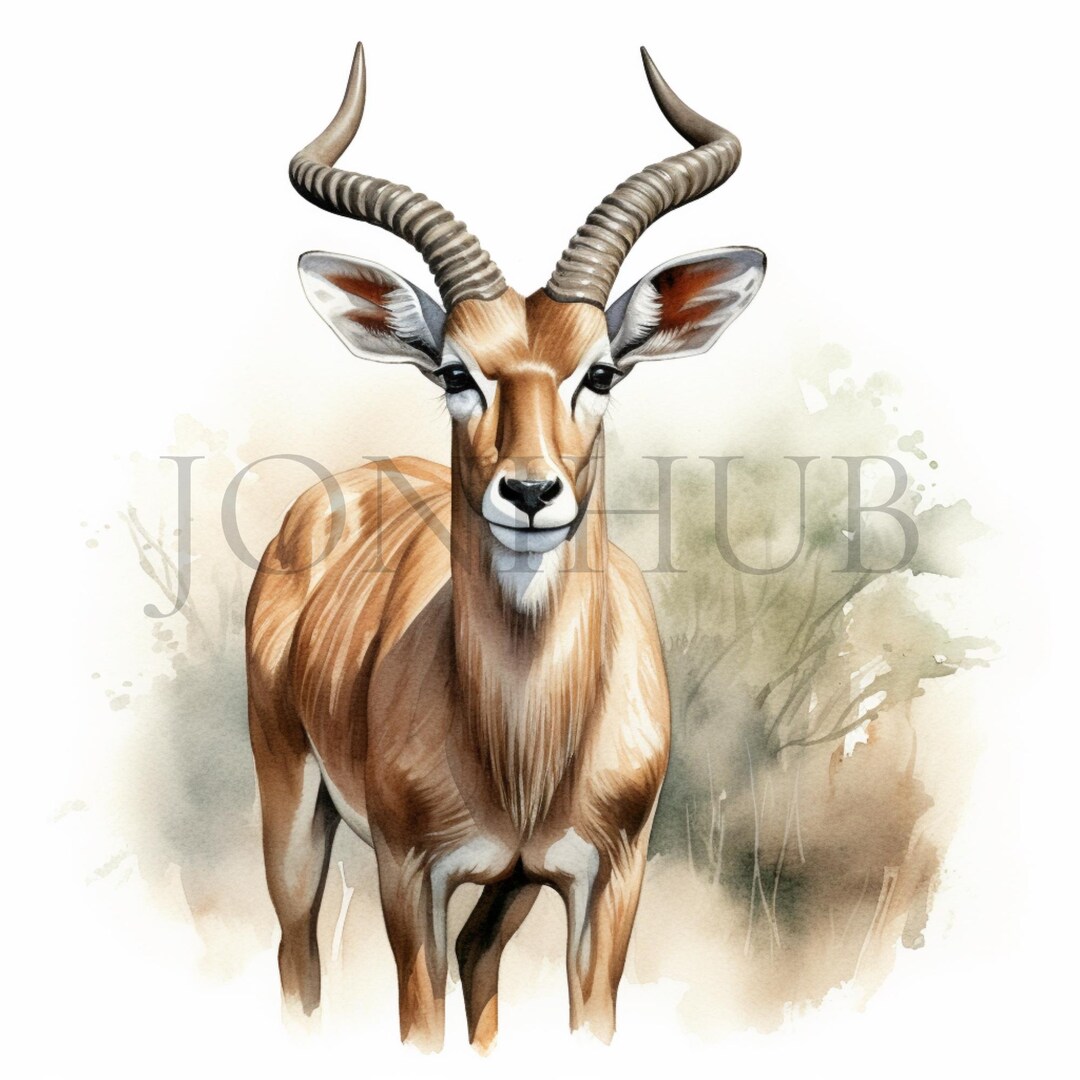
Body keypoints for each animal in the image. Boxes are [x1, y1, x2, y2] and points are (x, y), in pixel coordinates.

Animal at [246, 42, 764, 1051]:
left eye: (600, 371)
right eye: (456, 370)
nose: (529, 492)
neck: (523, 744)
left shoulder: (607, 878)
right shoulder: (410, 873)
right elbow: (417, 1020)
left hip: (514, 884)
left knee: (478, 956)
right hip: (291, 807)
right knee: (296, 961)